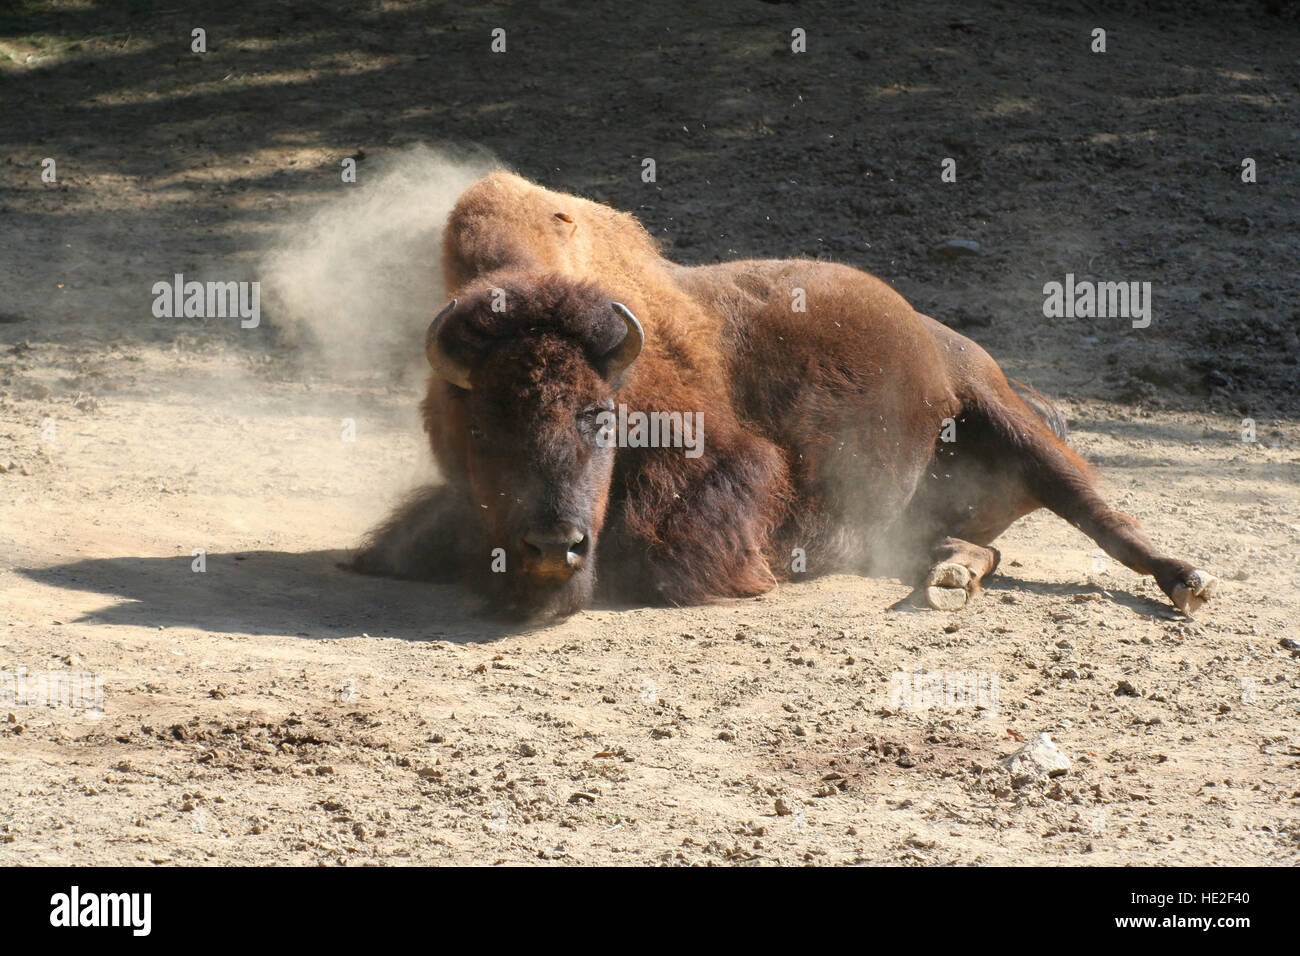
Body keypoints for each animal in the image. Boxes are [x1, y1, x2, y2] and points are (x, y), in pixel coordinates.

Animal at [349, 171, 1216, 621]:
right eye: (482, 421)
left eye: (601, 418)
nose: (552, 548)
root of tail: (942, 343)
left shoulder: (729, 467)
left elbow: (678, 551)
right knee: (974, 545)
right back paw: (948, 579)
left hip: (1019, 430)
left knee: (1102, 513)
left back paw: (1188, 581)